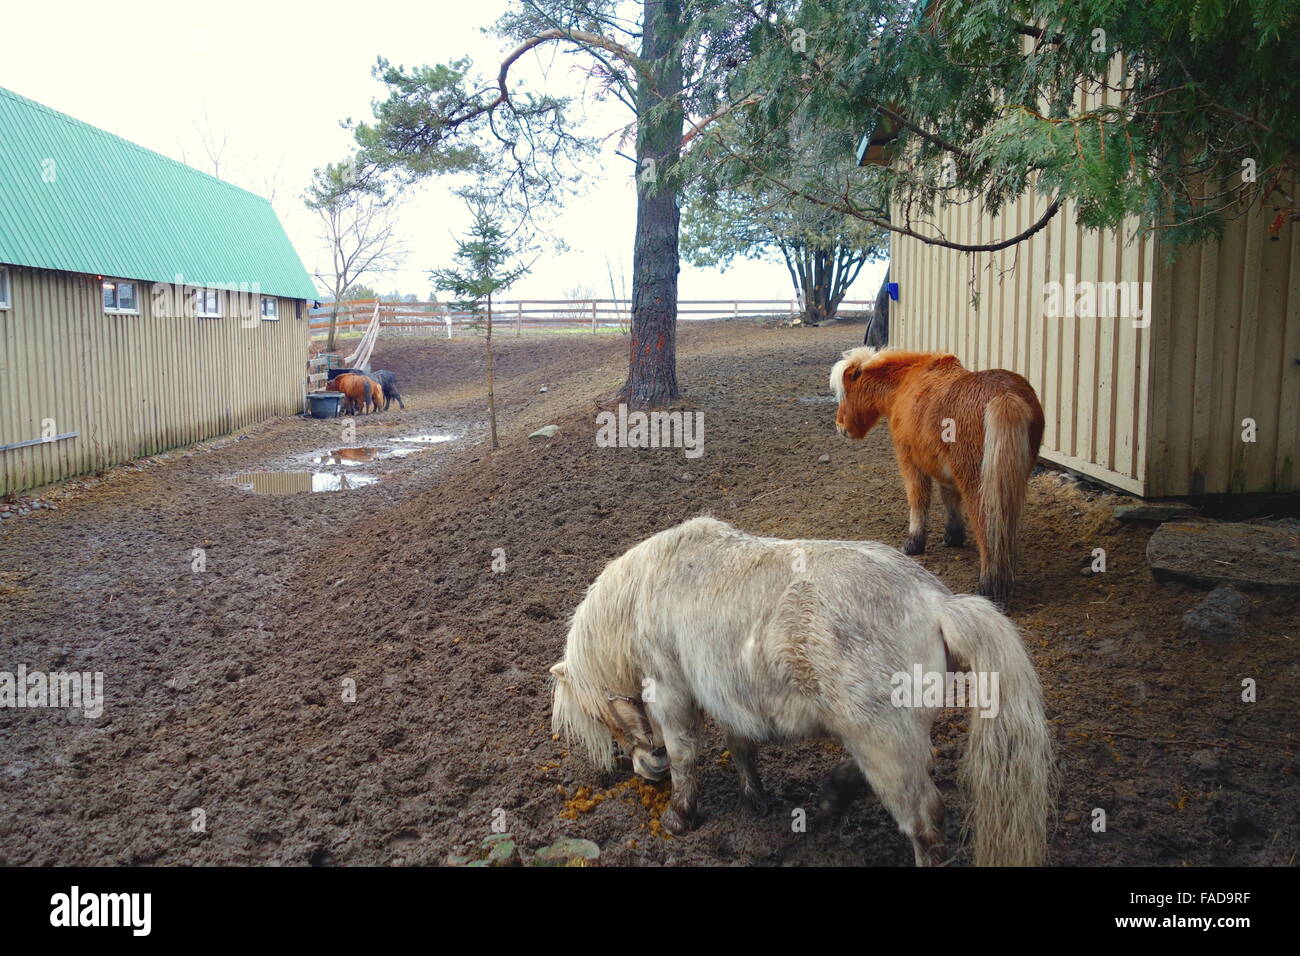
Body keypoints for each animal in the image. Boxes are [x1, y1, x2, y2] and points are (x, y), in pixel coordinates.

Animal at [550, 516, 1055, 866]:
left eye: (599, 717)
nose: (645, 769)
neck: (649, 586)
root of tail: (936, 604)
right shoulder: (728, 698)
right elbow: (741, 748)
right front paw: (755, 799)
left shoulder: (670, 692)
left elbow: (685, 755)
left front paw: (679, 816)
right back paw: (833, 797)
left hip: (886, 745)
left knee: (925, 822)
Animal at [830, 347, 1044, 604]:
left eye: (846, 393)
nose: (840, 427)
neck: (904, 383)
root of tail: (1006, 397)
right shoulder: (942, 467)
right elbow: (949, 497)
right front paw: (953, 536)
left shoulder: (909, 461)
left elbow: (918, 499)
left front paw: (914, 543)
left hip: (978, 486)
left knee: (986, 530)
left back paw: (989, 586)